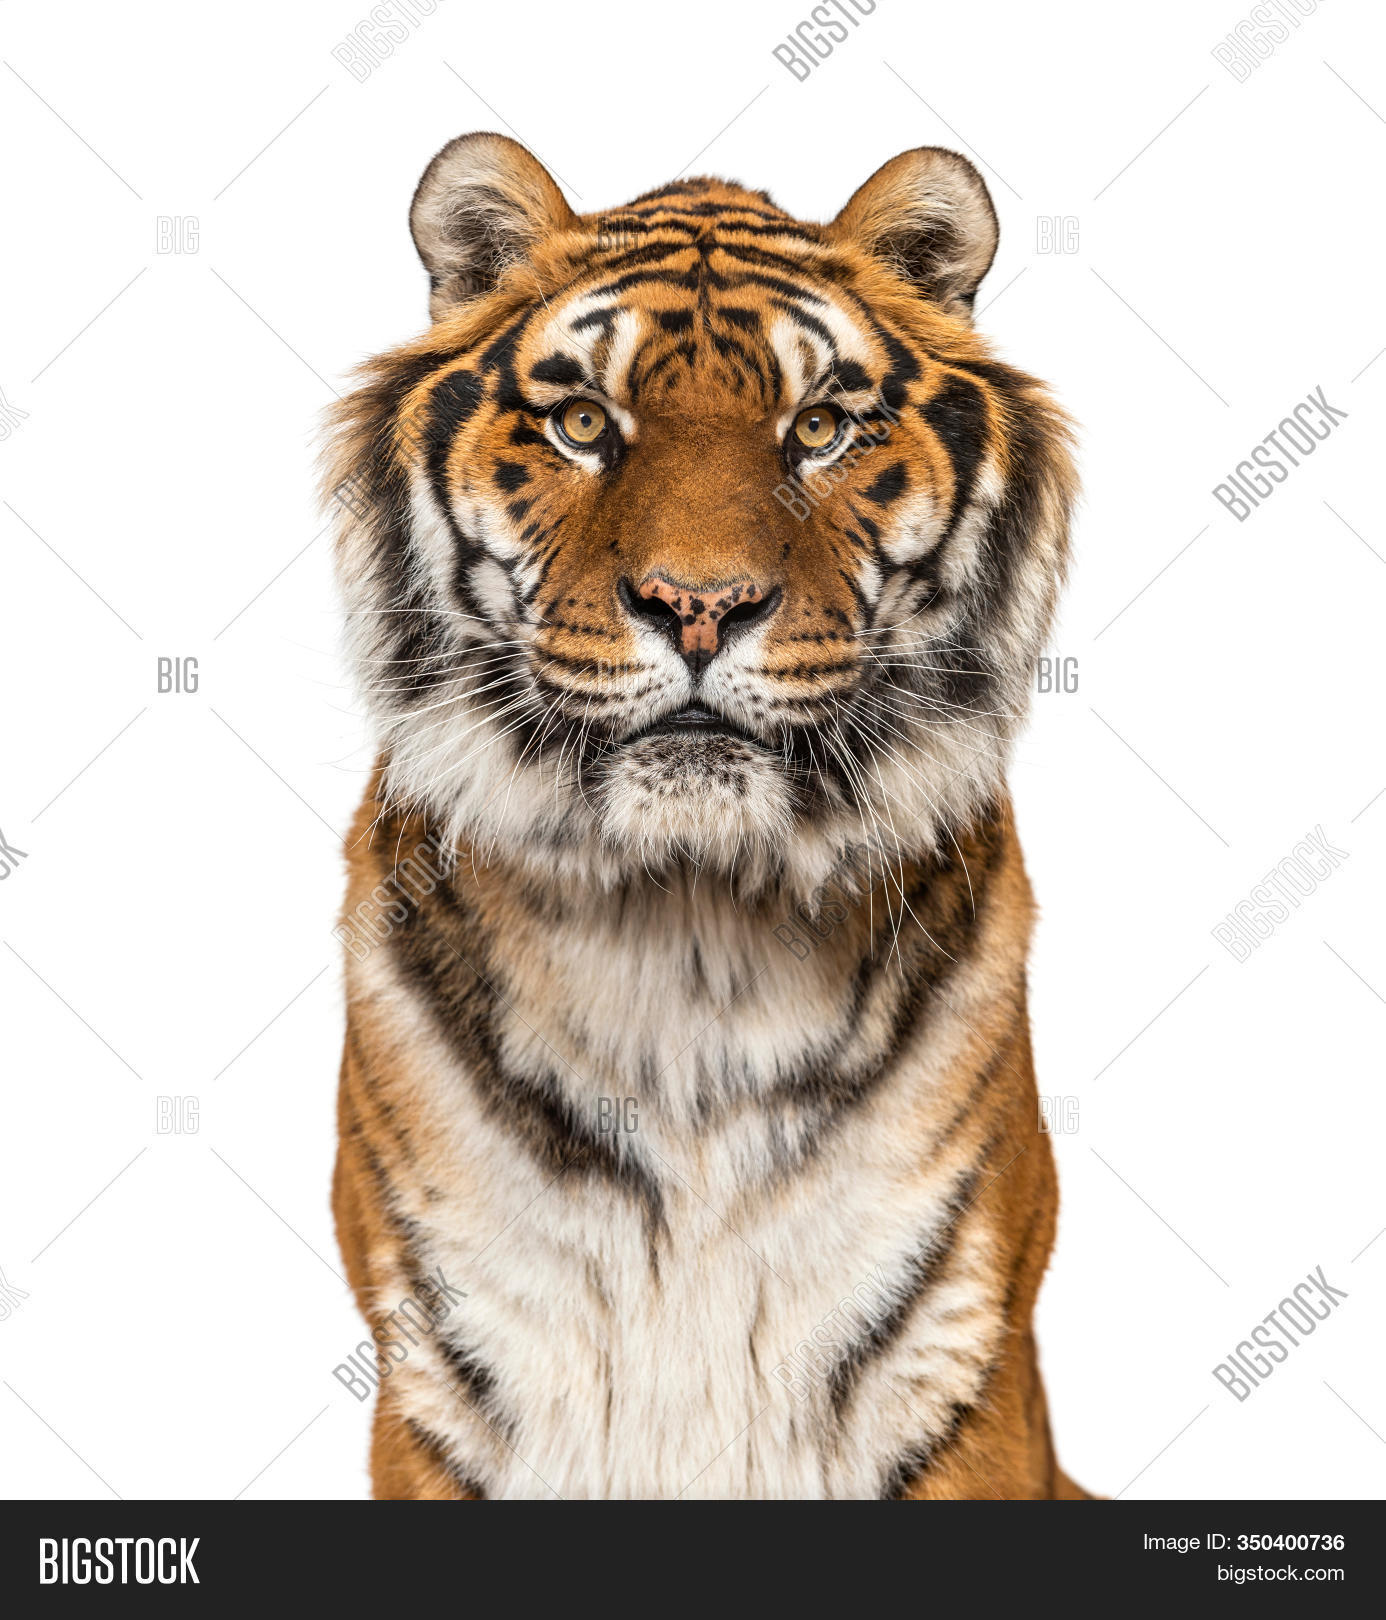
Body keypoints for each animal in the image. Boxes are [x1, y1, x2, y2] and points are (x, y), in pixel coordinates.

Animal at [326, 130, 1090, 1500]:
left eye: (819, 427)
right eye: (584, 423)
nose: (697, 605)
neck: (687, 936)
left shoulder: (955, 1360)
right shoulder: (442, 1366)